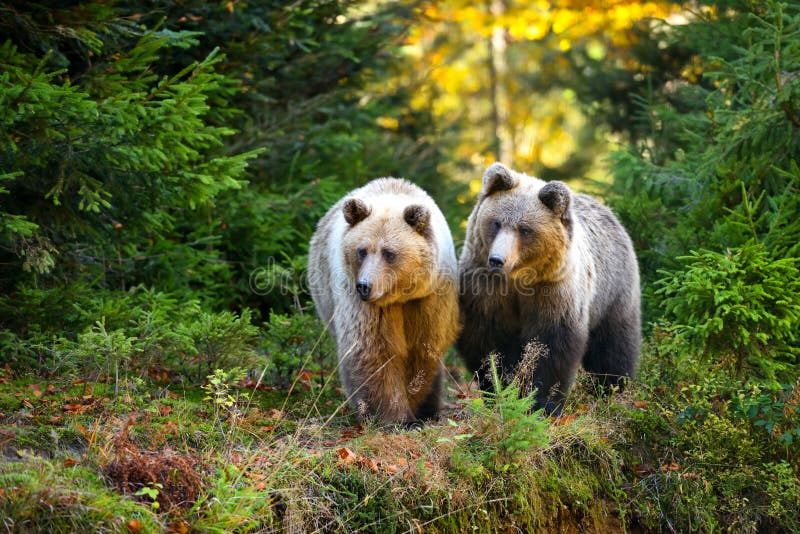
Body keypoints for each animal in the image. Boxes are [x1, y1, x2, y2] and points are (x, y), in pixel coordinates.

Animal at [308, 178, 460, 424]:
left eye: (389, 253)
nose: (364, 285)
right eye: (362, 250)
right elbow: (374, 350)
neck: (401, 295)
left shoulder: (429, 298)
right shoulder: (364, 304)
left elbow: (423, 346)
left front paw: (417, 404)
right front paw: (396, 416)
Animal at [457, 162, 641, 414]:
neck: (517, 279)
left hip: (614, 291)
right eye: (496, 222)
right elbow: (489, 343)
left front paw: (541, 403)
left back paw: (612, 388)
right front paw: (499, 388)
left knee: (613, 345)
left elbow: (551, 346)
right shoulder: (486, 290)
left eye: (524, 229)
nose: (496, 260)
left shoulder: (553, 291)